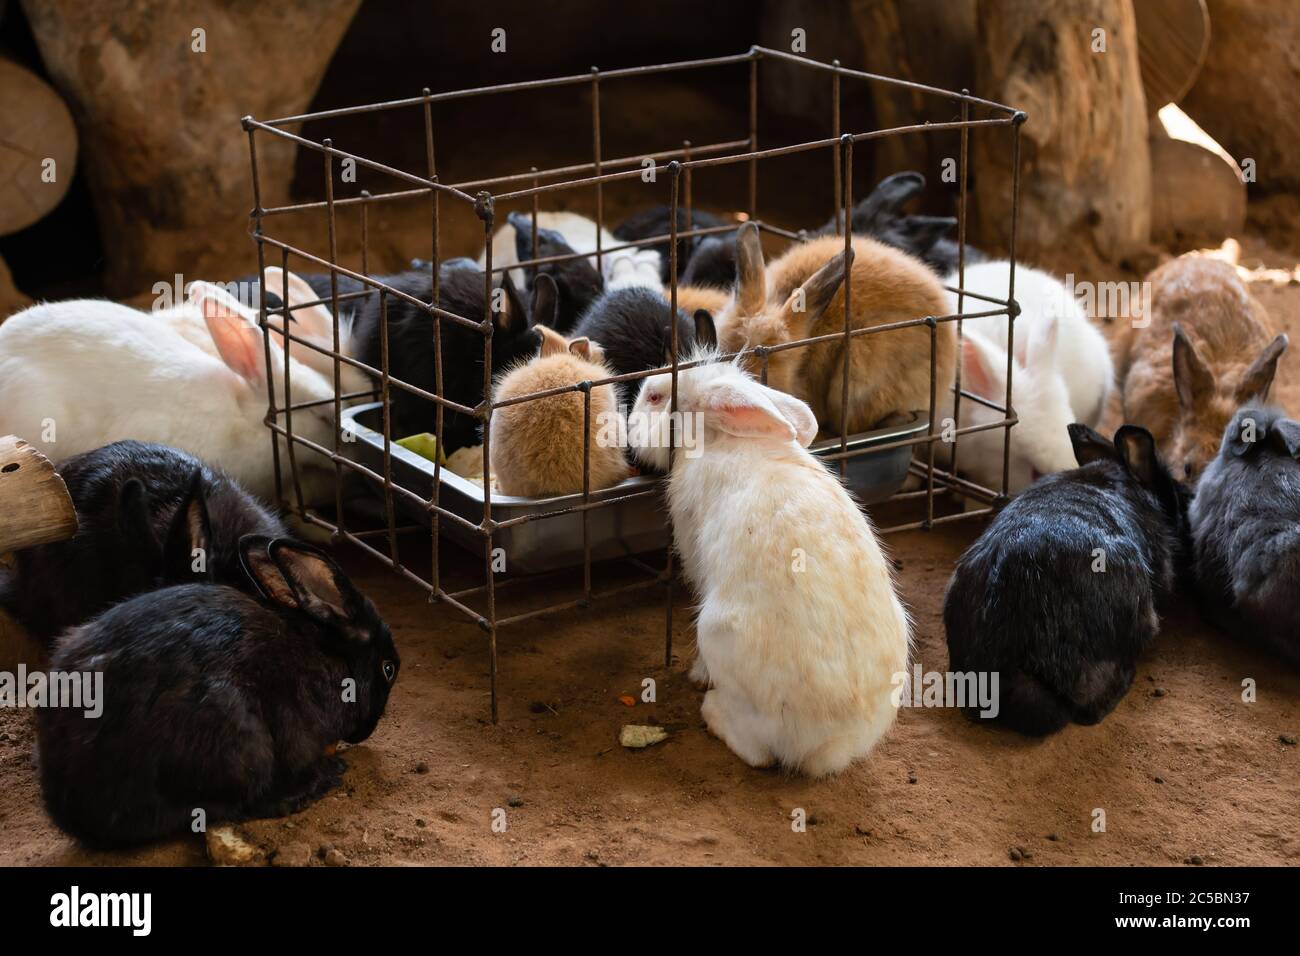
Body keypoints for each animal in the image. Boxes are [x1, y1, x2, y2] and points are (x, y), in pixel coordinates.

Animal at [35, 536, 399, 849]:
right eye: (388, 669)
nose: (365, 733)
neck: (330, 655)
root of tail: (73, 811)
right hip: (235, 738)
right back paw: (318, 782)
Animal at [628, 353, 910, 776]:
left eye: (656, 397)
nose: (628, 424)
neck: (720, 438)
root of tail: (826, 744)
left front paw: (697, 676)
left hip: (716, 633)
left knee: (758, 752)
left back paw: (713, 711)